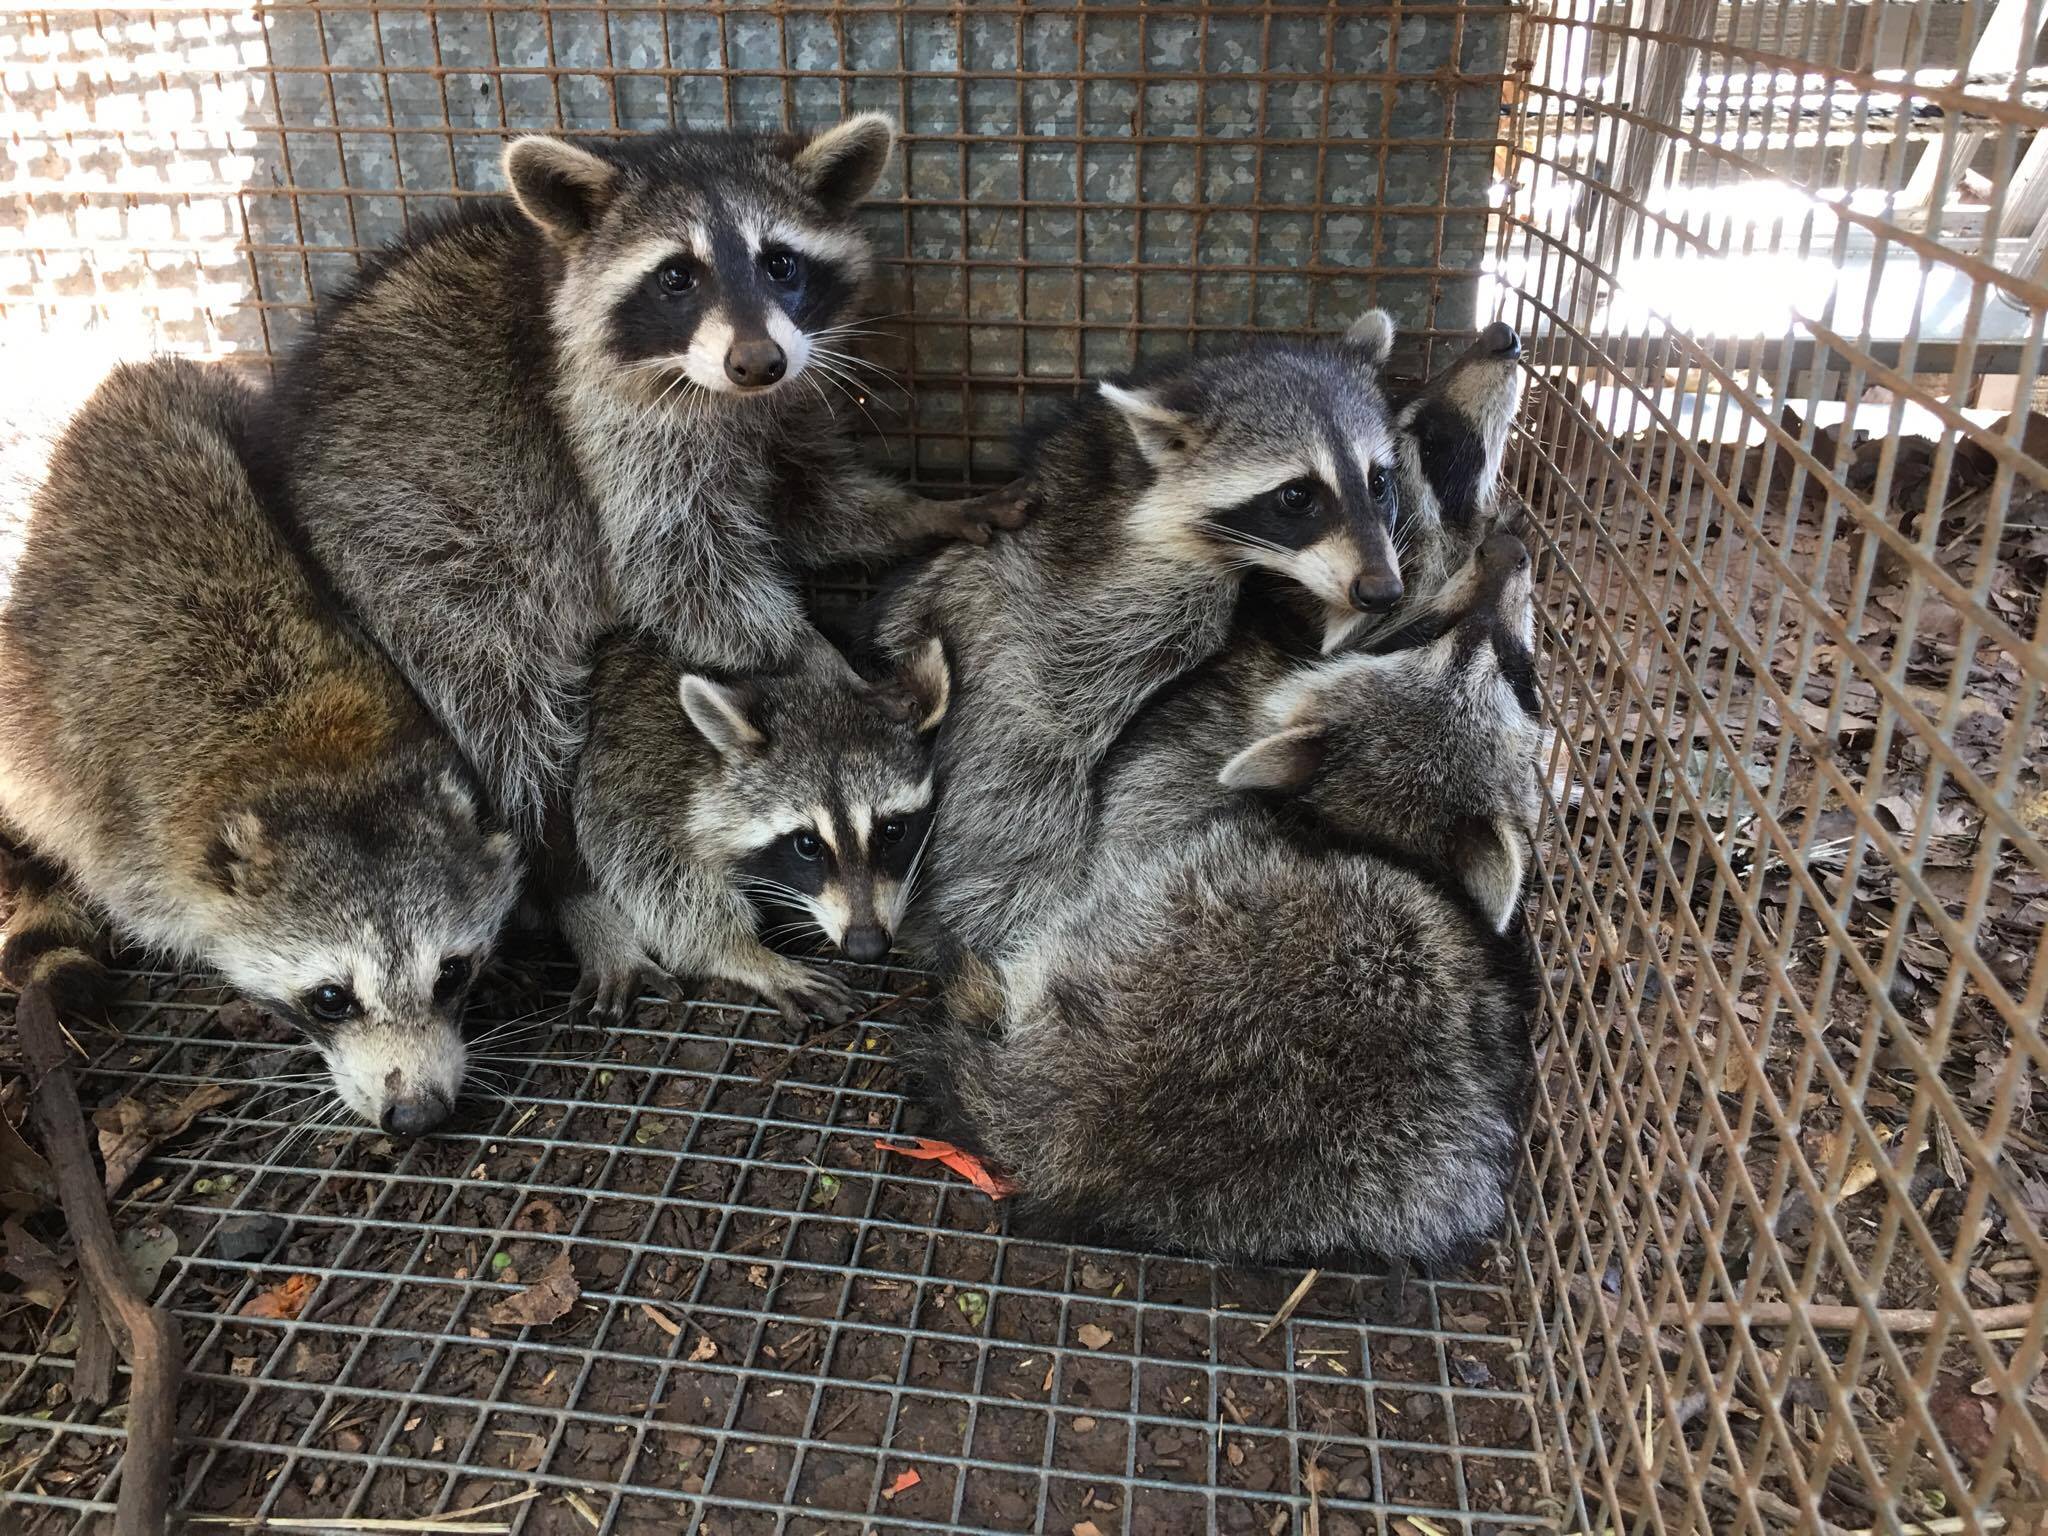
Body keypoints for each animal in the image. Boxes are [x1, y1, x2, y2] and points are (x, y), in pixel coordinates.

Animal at [258, 114, 1020, 845]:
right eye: (677, 276)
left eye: (780, 263)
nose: (758, 362)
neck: (728, 398)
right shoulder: (609, 435)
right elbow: (682, 574)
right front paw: (821, 661)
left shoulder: (786, 403)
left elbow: (810, 503)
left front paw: (919, 512)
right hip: (419, 549)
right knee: (499, 694)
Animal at [567, 630, 949, 1024]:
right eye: (807, 844)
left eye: (893, 831)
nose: (867, 946)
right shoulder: (636, 774)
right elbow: (644, 866)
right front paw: (743, 953)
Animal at [868, 311, 1405, 963]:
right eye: (1297, 495)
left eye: (1379, 482)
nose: (1380, 591)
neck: (1129, 479)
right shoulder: (1095, 590)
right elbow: (1050, 709)